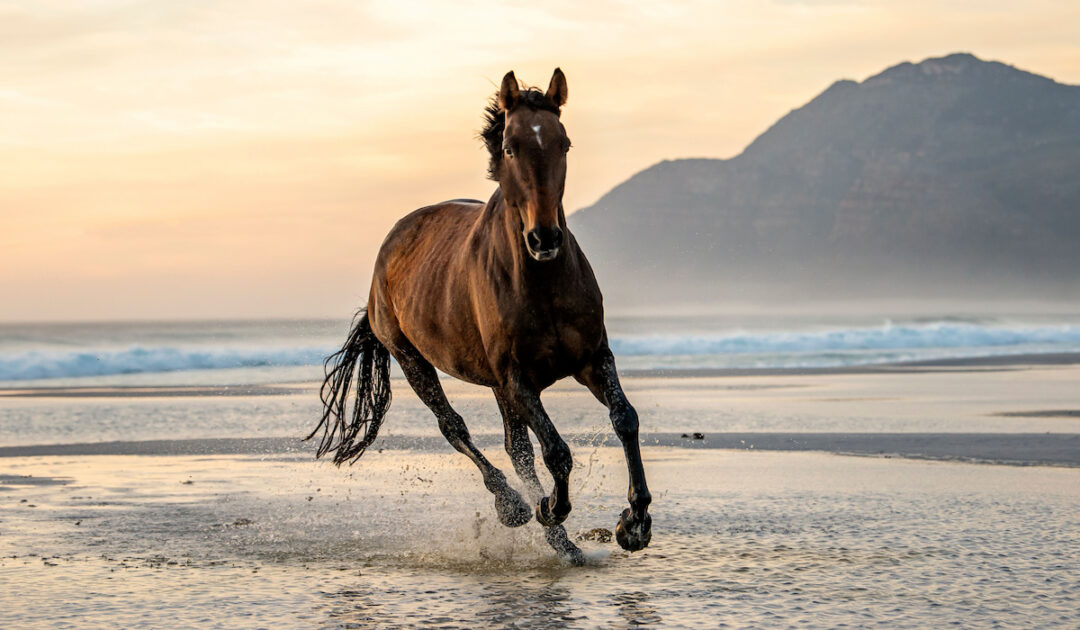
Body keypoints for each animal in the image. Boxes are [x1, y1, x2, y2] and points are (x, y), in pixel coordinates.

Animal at [307, 68, 652, 564]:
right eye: (510, 146)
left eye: (564, 143)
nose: (544, 238)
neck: (542, 283)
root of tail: (390, 246)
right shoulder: (517, 378)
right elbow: (556, 450)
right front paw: (552, 507)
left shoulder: (591, 360)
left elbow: (625, 419)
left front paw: (635, 523)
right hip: (414, 360)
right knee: (457, 428)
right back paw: (519, 509)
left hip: (495, 384)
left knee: (516, 447)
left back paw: (561, 540)